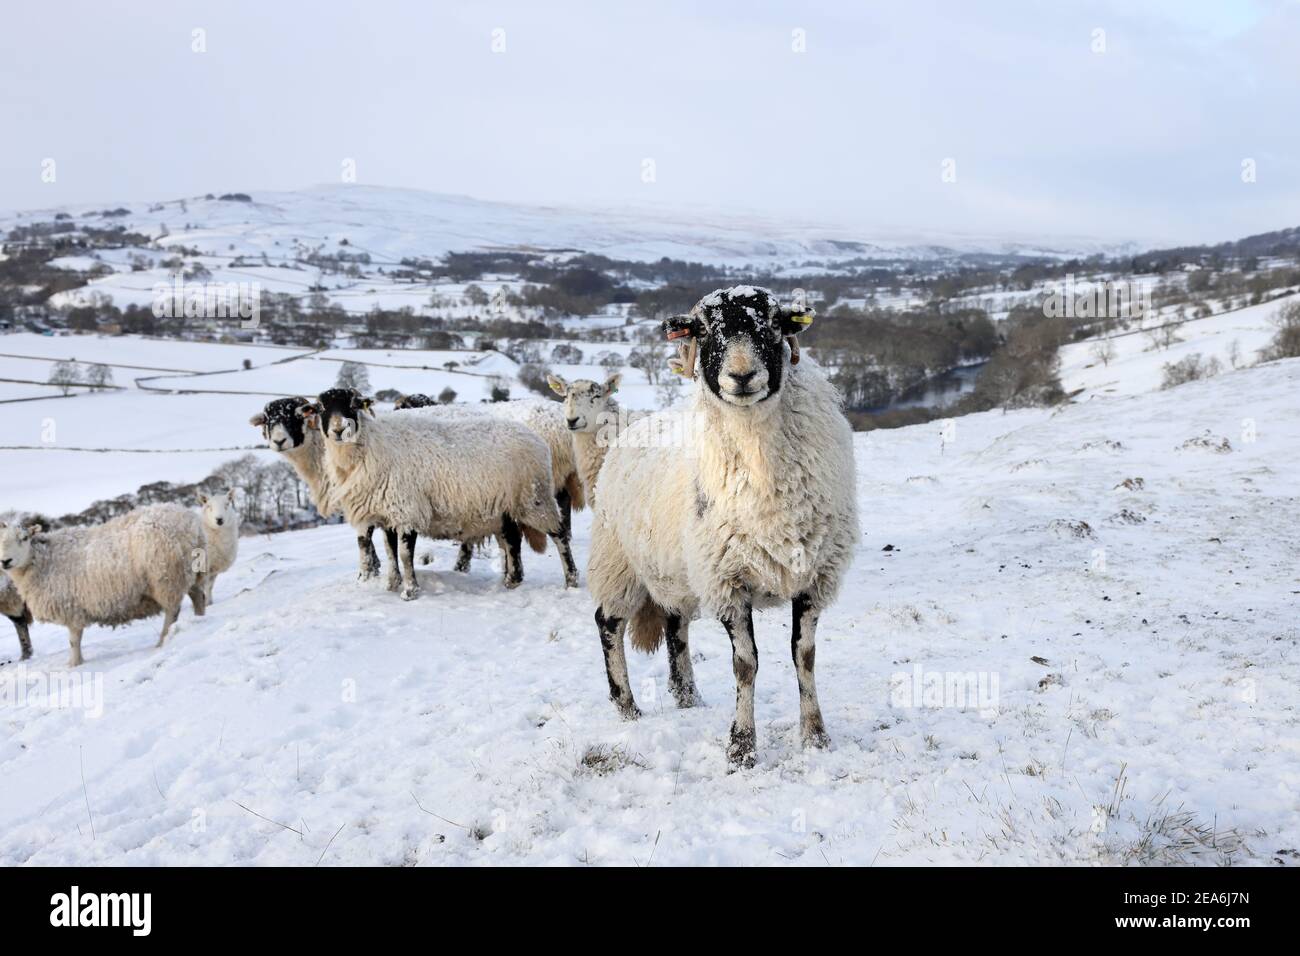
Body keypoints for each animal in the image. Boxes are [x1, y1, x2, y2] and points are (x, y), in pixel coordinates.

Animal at [0, 504, 209, 667]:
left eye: (24, 538)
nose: (5, 561)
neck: (42, 560)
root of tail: (192, 523)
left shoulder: (72, 609)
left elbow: (74, 640)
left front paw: (74, 664)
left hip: (166, 578)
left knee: (172, 610)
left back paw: (163, 640)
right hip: (191, 573)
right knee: (198, 597)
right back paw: (199, 620)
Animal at [251, 397, 386, 586]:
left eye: (297, 416)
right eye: (267, 420)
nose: (279, 441)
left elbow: (365, 534)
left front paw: (367, 574)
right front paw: (374, 568)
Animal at [587, 286, 858, 768]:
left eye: (773, 323)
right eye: (703, 330)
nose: (743, 376)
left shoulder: (814, 574)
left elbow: (805, 656)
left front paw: (816, 737)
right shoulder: (729, 579)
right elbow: (745, 665)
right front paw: (741, 748)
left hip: (677, 569)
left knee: (675, 625)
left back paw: (687, 696)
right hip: (617, 559)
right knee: (608, 624)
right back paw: (627, 706)